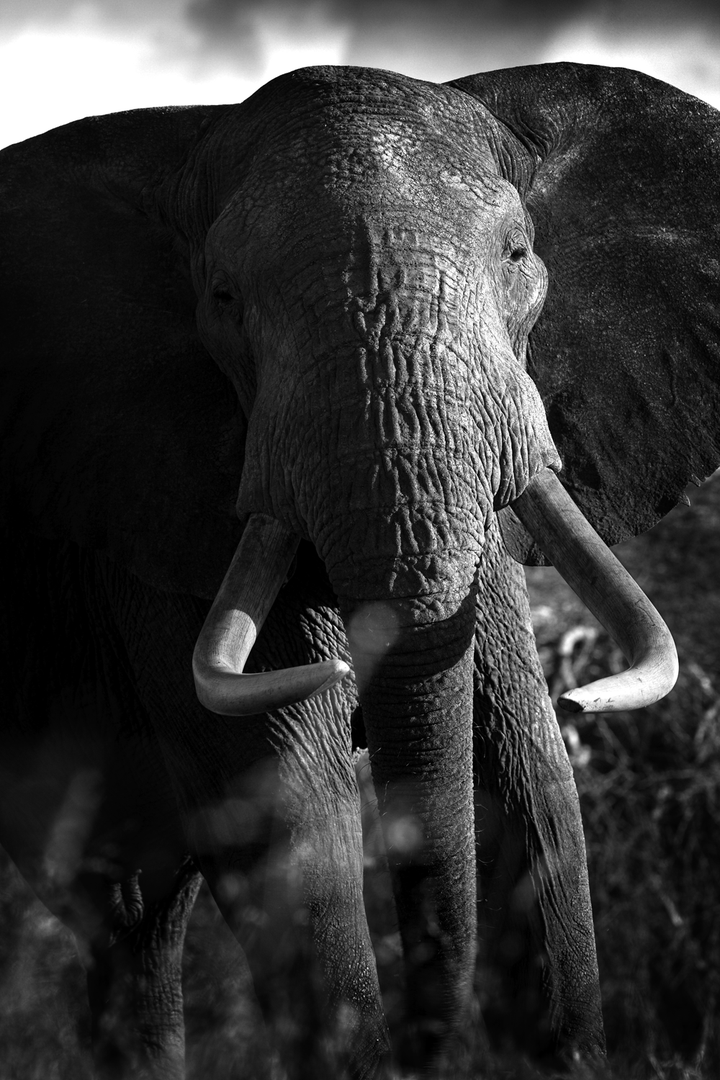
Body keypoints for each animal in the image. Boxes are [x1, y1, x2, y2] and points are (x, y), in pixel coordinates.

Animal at [1, 59, 717, 1078]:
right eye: (223, 298)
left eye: (518, 255)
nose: (433, 1042)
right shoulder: (152, 507)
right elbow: (292, 815)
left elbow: (531, 781)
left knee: (134, 920)